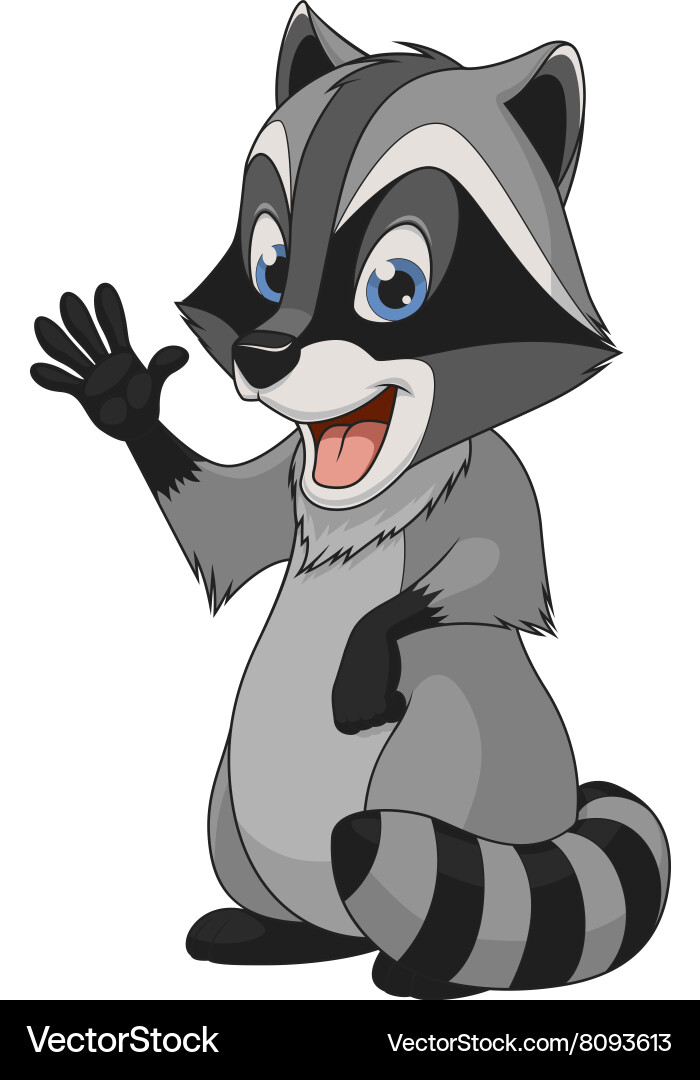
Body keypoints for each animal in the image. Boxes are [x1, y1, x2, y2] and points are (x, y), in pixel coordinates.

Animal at [31, 4, 669, 998]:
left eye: (394, 287)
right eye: (270, 263)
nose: (263, 354)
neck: (369, 496)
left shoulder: (498, 477)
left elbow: (497, 577)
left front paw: (380, 632)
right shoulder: (284, 484)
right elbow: (220, 524)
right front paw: (125, 400)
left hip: (461, 760)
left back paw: (429, 967)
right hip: (232, 809)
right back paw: (285, 934)